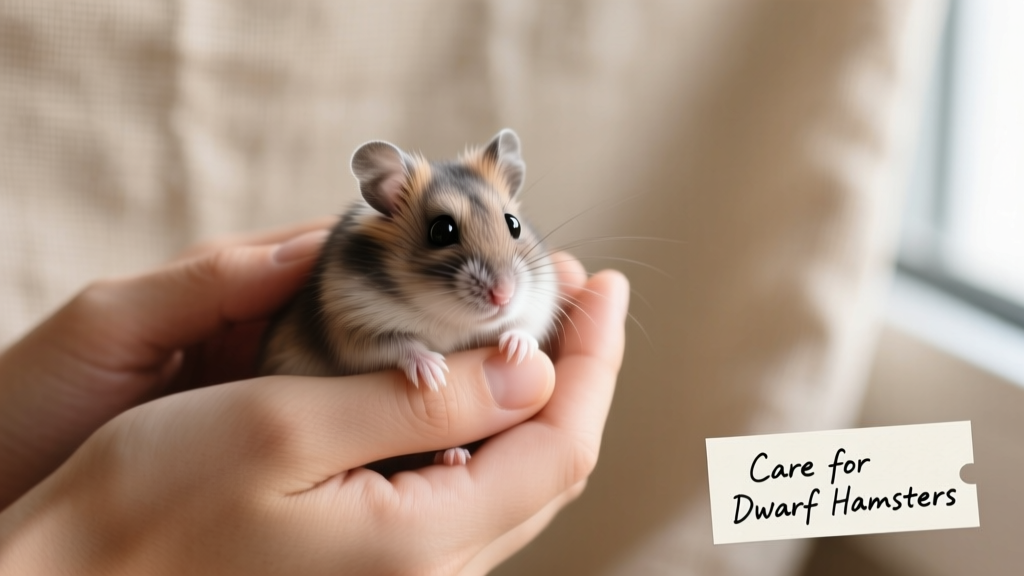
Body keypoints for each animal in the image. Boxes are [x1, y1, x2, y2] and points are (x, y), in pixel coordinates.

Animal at [258, 129, 560, 466]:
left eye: (513, 224)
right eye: (442, 231)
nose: (504, 295)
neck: (450, 319)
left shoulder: (539, 303)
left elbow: (526, 326)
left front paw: (517, 351)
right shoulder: (350, 326)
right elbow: (396, 345)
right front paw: (435, 372)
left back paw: (452, 455)